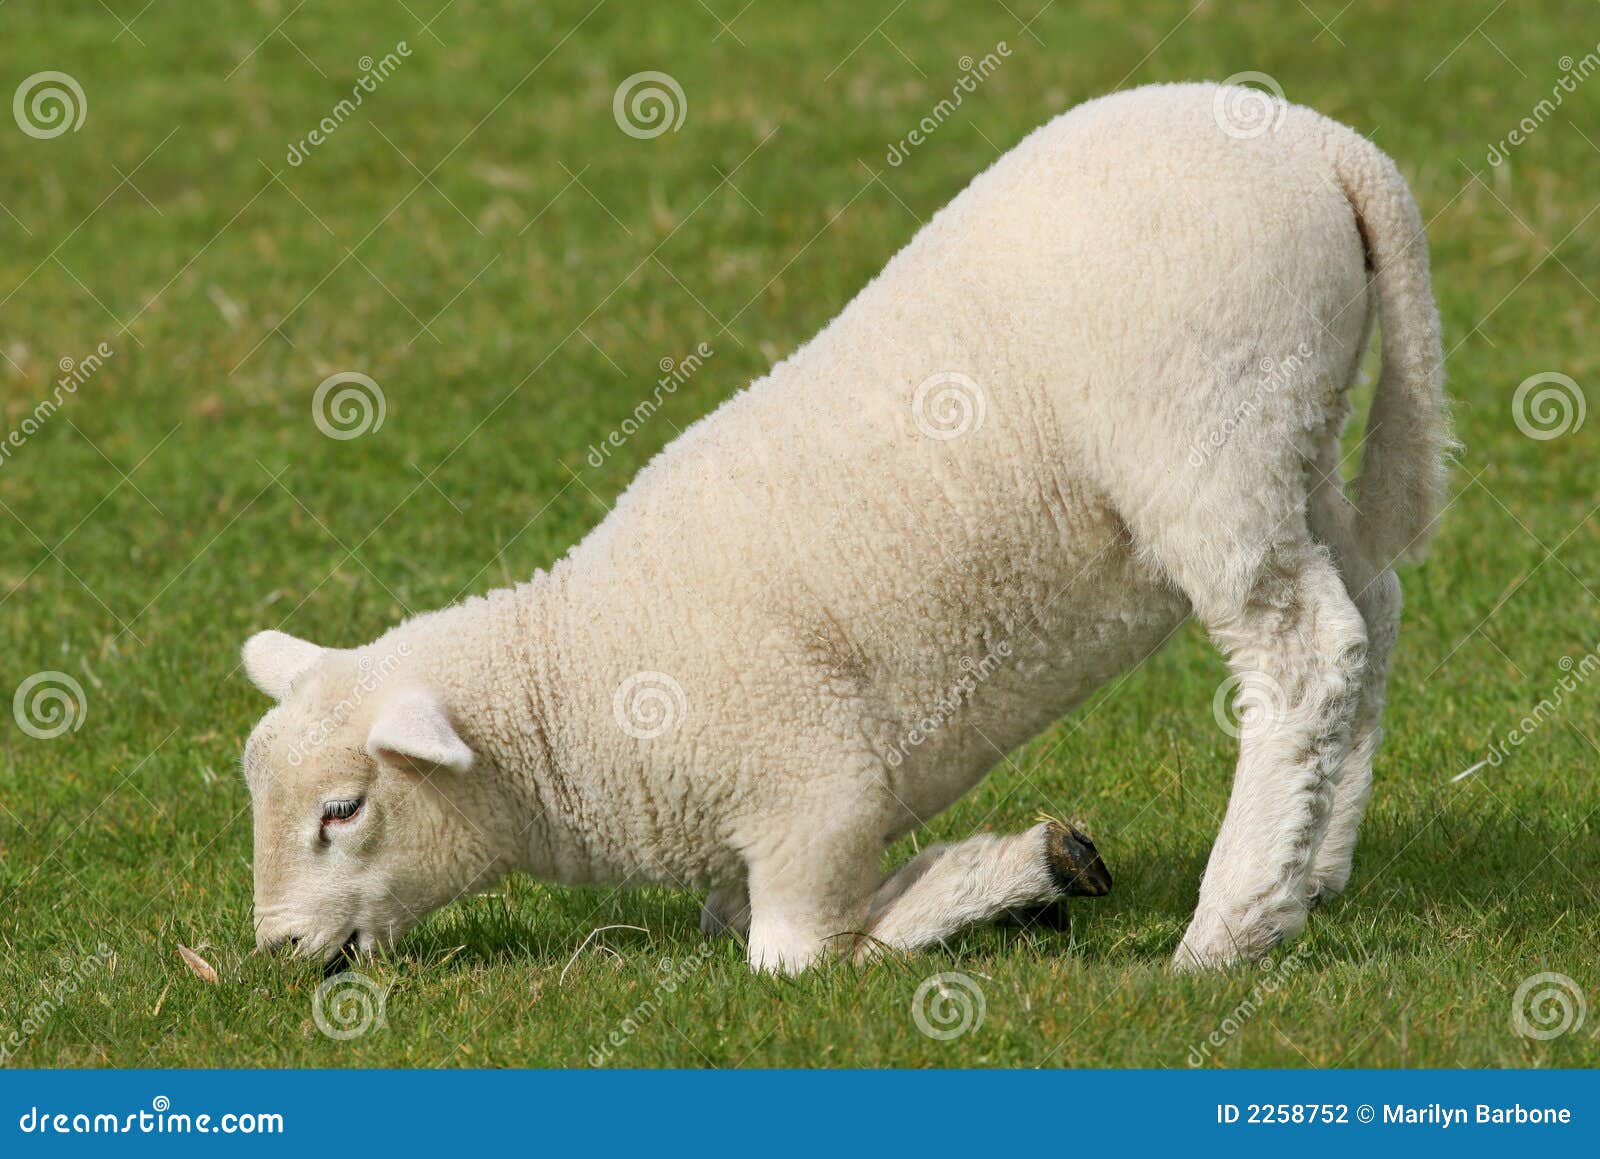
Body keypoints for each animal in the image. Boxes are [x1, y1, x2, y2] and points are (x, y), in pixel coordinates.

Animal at [241, 82, 1450, 975]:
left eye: (342, 810)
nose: (281, 951)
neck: (577, 693)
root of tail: (1330, 148)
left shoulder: (815, 789)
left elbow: (798, 951)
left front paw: (1011, 873)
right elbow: (740, 918)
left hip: (1208, 436)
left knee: (1303, 648)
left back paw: (1231, 925)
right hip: (1290, 426)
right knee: (1372, 605)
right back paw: (1315, 866)